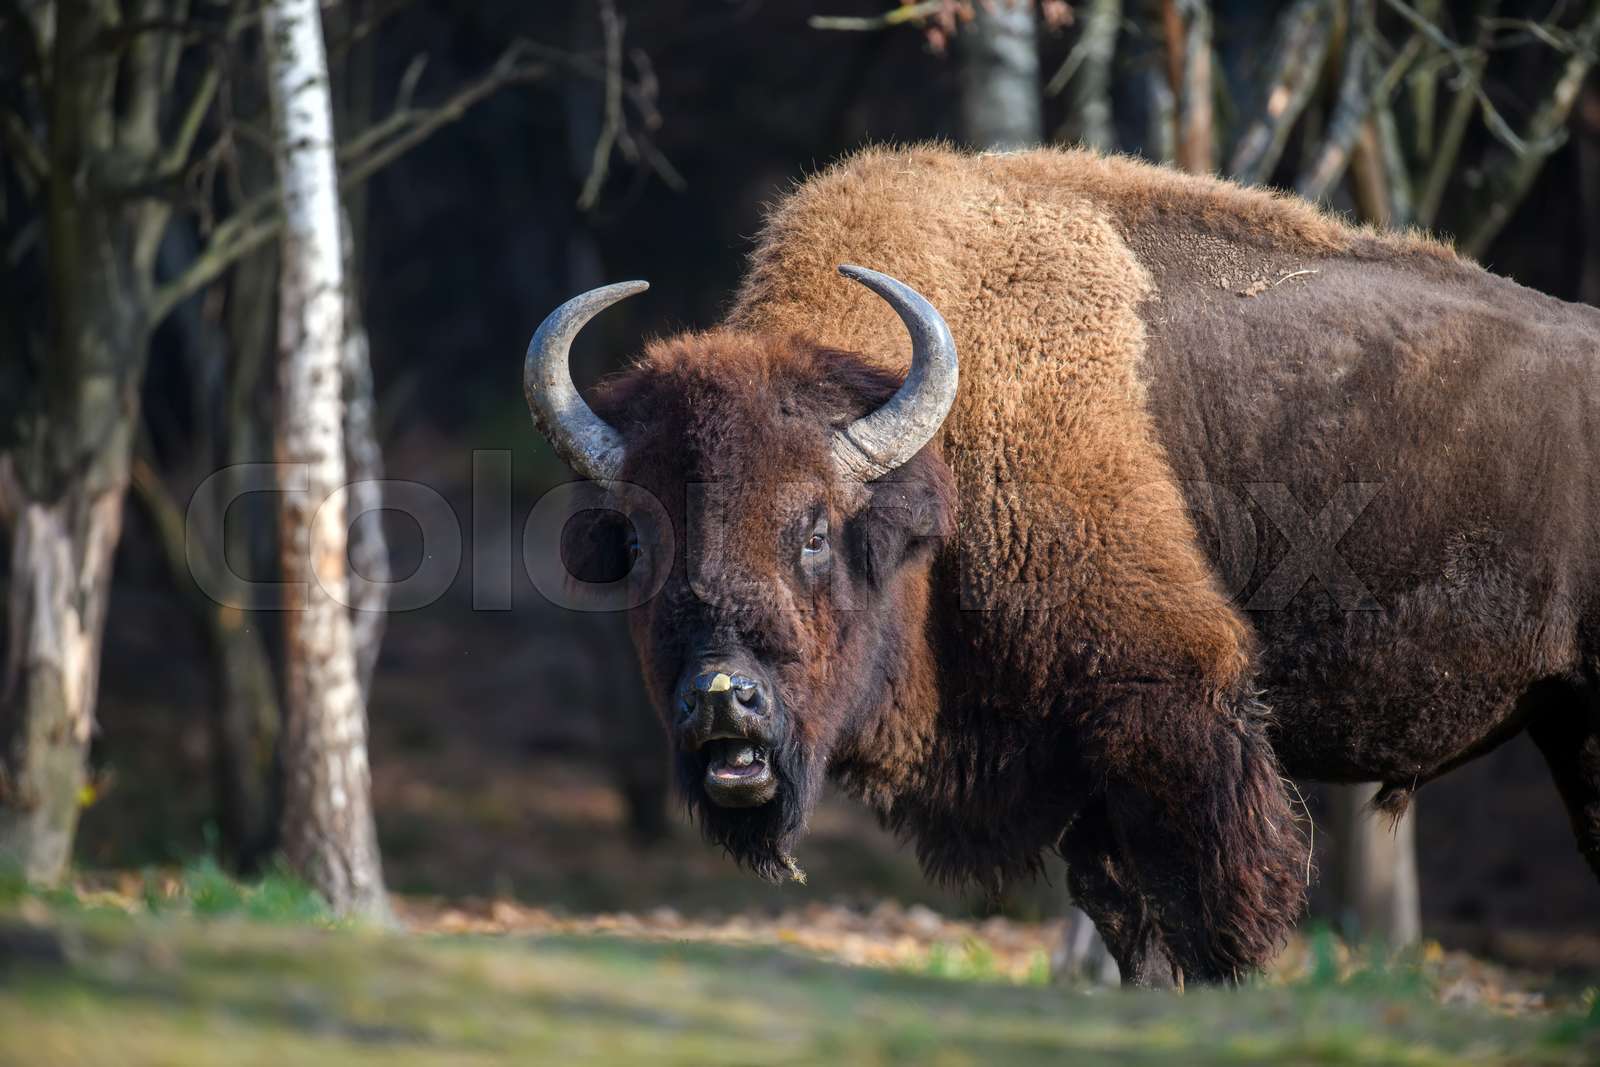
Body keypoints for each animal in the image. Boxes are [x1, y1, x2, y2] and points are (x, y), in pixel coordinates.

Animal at [523, 146, 1600, 987]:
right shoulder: (1082, 762)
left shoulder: (1172, 707)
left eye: (815, 530)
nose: (722, 699)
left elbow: (1207, 905)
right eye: (641, 542)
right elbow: (1127, 916)